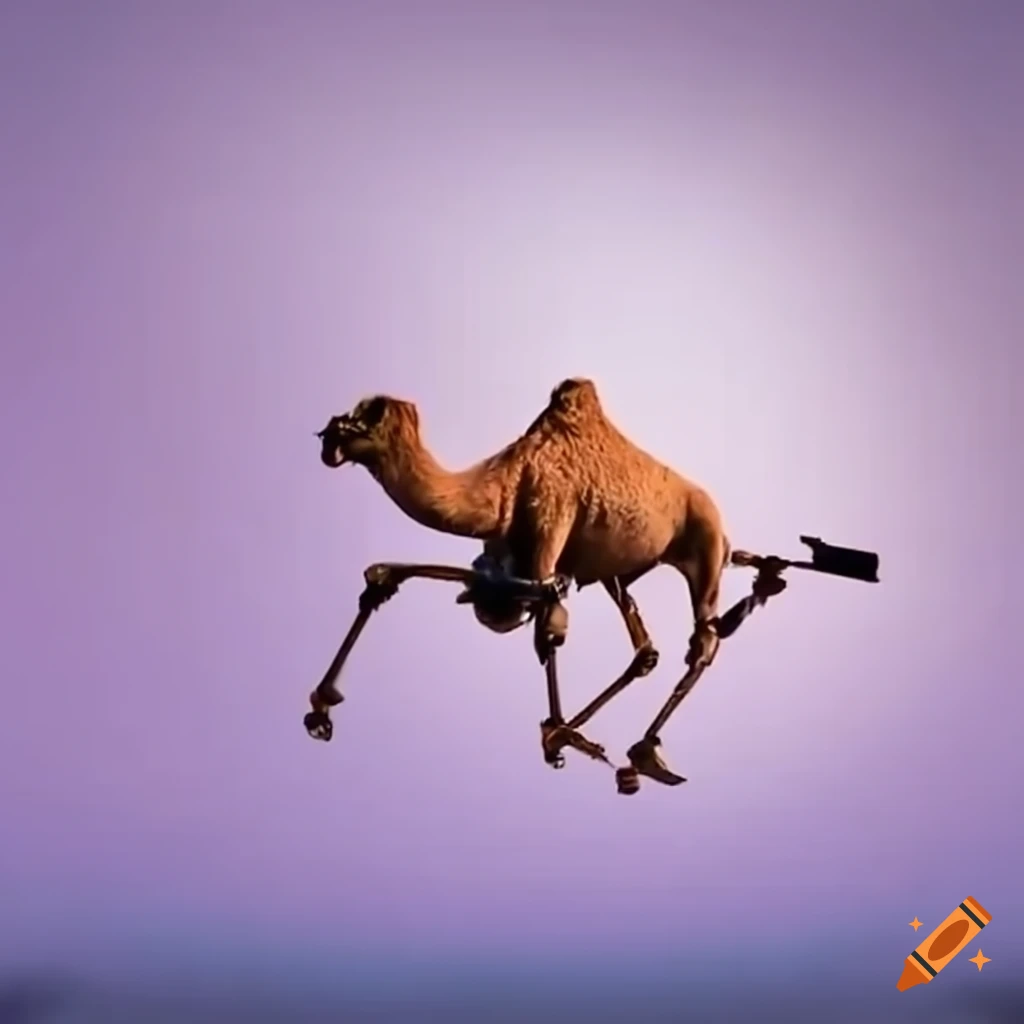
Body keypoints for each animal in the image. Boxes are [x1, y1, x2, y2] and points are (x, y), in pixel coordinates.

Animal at [304, 377, 879, 794]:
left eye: (368, 418)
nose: (329, 438)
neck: (499, 487)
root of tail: (726, 527)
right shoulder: (511, 561)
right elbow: (389, 574)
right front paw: (320, 708)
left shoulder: (547, 535)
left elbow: (548, 619)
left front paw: (554, 735)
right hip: (619, 573)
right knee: (647, 649)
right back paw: (623, 751)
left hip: (705, 551)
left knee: (703, 640)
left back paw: (638, 753)